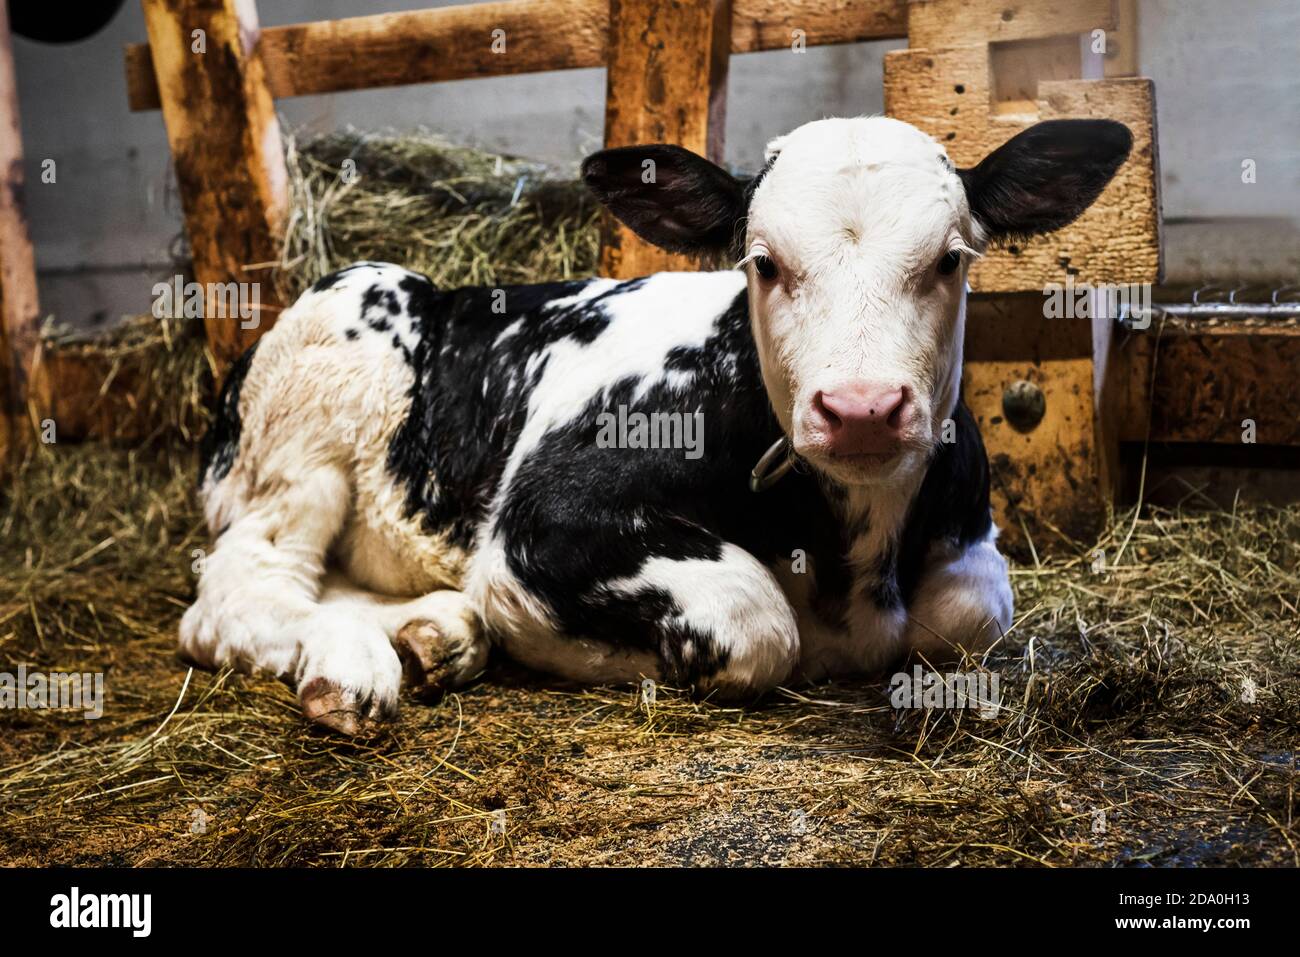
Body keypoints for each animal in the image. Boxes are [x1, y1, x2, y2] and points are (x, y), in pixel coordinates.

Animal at [179, 116, 1131, 734]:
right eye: (763, 262)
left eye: (950, 258)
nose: (861, 408)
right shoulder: (540, 524)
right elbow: (756, 625)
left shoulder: (970, 552)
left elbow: (972, 610)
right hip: (324, 379)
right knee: (235, 591)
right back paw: (353, 669)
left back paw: (435, 634)